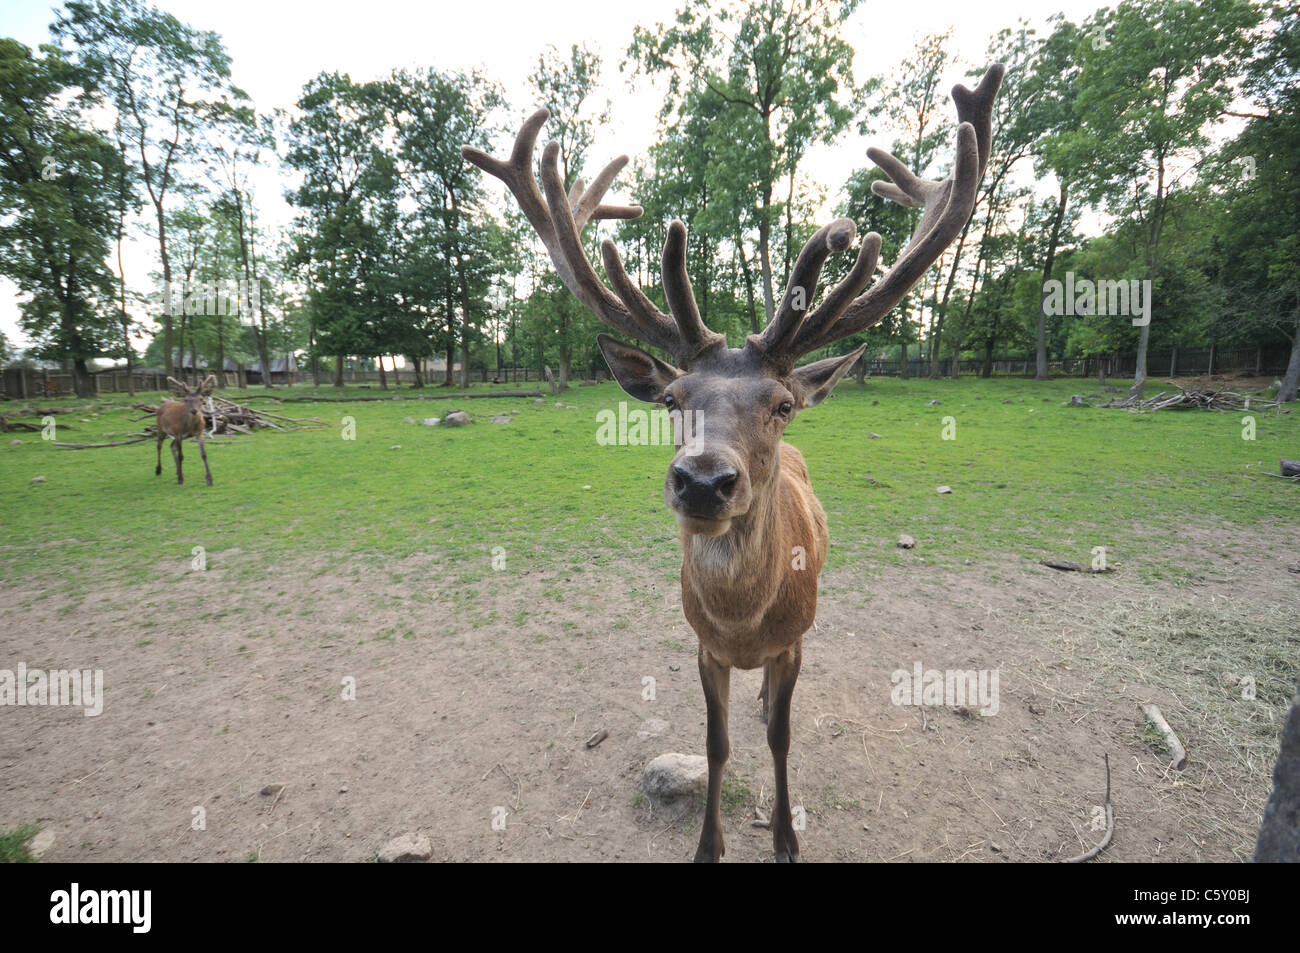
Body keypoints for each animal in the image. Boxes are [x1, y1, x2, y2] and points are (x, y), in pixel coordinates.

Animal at [464, 63, 1003, 862]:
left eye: (780, 404)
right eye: (672, 398)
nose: (703, 481)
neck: (745, 623)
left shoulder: (794, 642)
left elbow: (780, 738)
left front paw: (785, 838)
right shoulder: (701, 645)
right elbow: (715, 745)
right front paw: (708, 844)